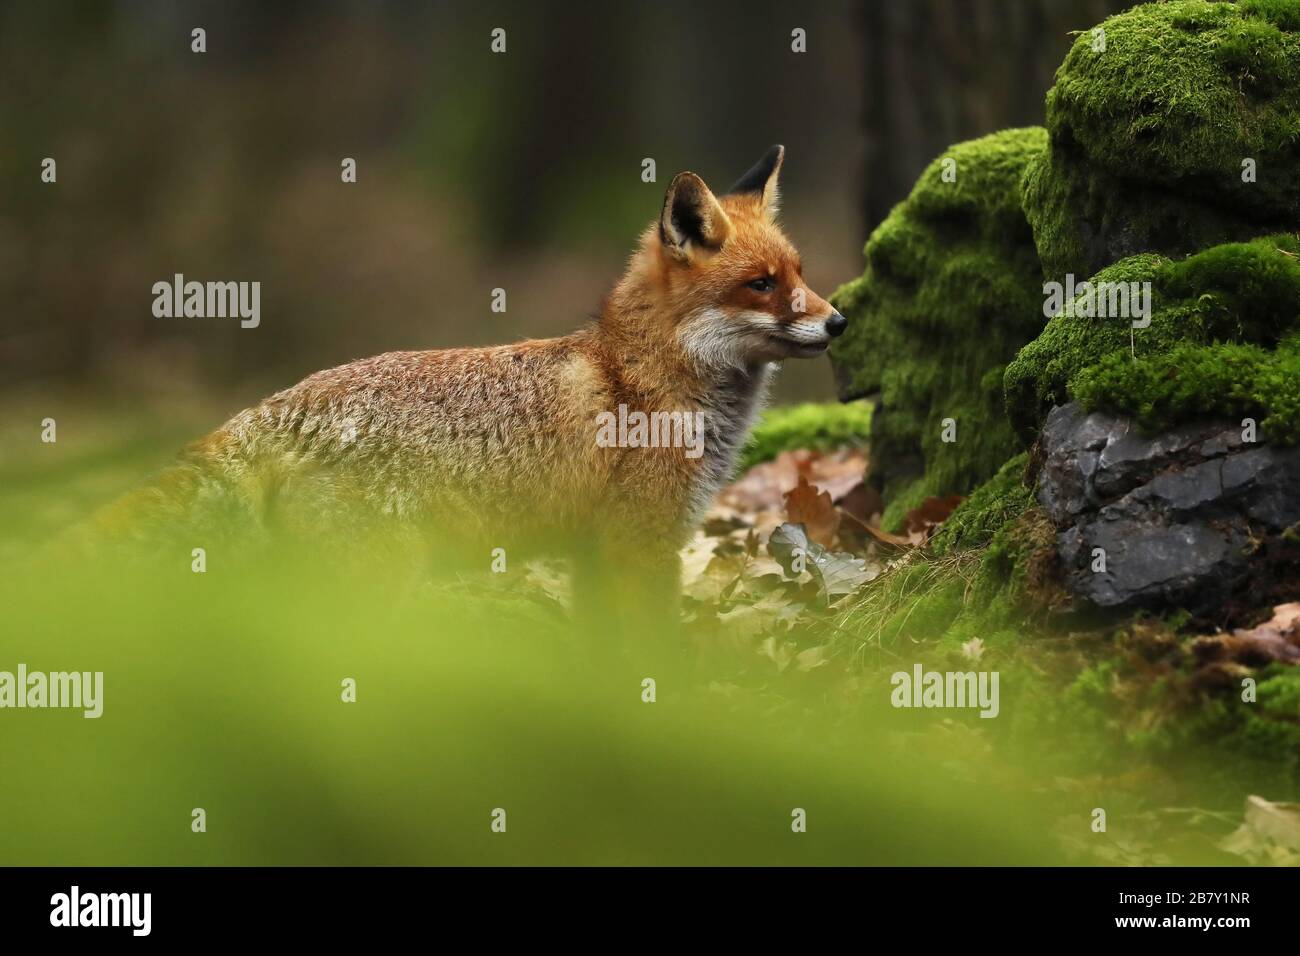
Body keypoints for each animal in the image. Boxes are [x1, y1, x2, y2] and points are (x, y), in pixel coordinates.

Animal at [80, 145, 847, 628]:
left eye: (799, 274)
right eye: (761, 285)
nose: (840, 320)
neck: (641, 373)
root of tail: (280, 404)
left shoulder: (594, 554)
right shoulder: (640, 544)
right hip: (374, 579)